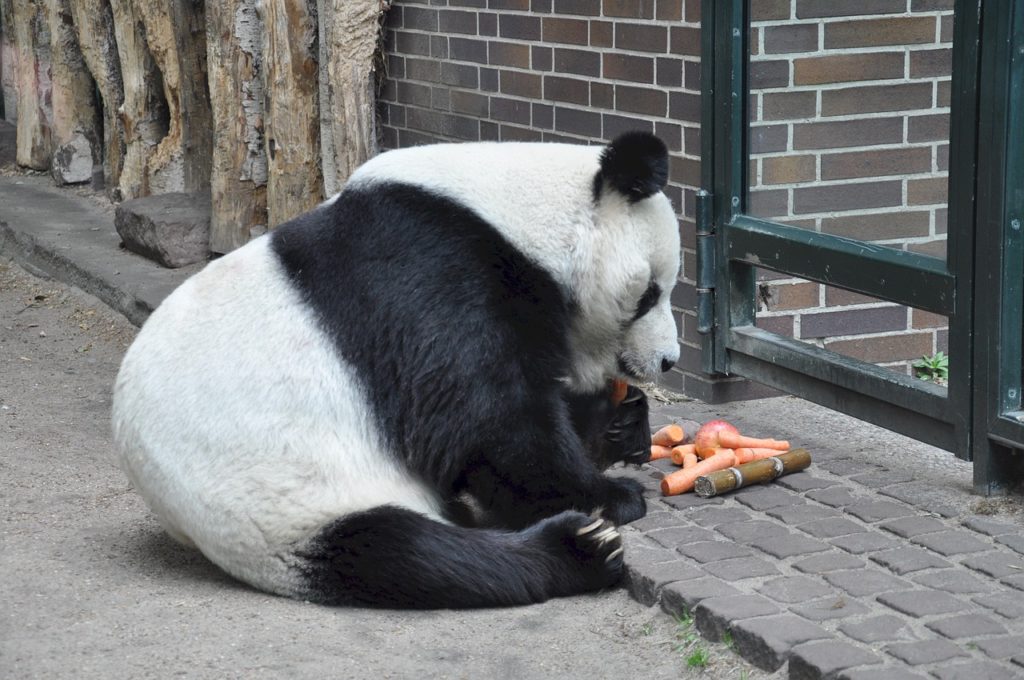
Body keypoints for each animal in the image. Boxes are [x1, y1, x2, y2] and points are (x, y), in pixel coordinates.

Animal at [111, 131, 681, 609]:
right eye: (651, 293)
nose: (668, 360)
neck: (517, 217)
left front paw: (620, 422)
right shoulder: (429, 271)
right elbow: (480, 418)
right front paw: (609, 497)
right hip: (282, 508)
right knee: (409, 555)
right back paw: (581, 549)